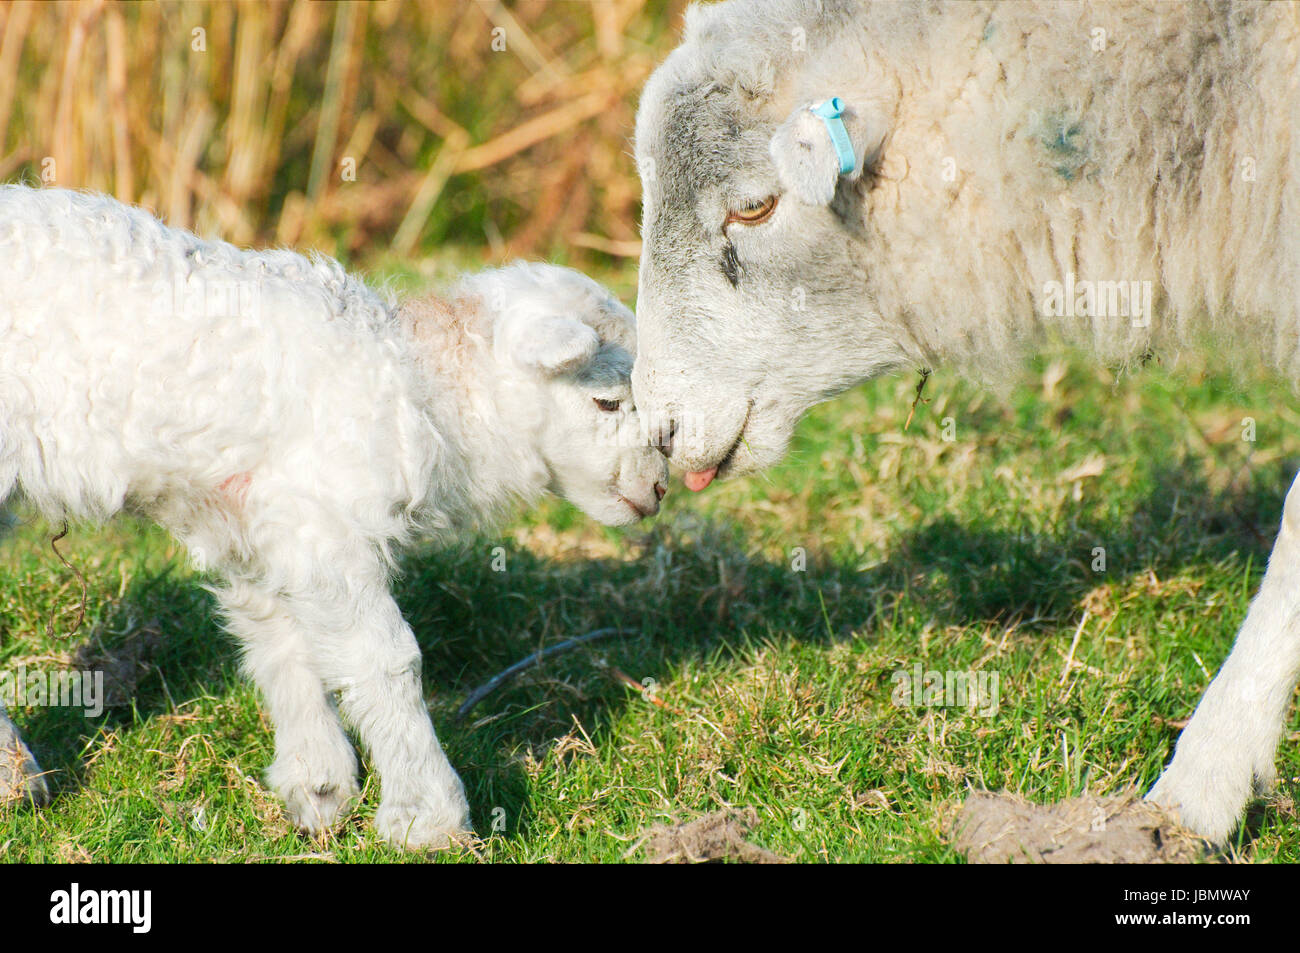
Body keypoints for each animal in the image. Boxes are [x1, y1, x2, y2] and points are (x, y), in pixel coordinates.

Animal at [0, 184, 668, 847]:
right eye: (606, 402)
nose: (659, 489)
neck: (423, 388)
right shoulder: (322, 525)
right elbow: (386, 659)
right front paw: (429, 817)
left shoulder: (257, 523)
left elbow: (281, 643)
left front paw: (318, 785)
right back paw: (19, 781)